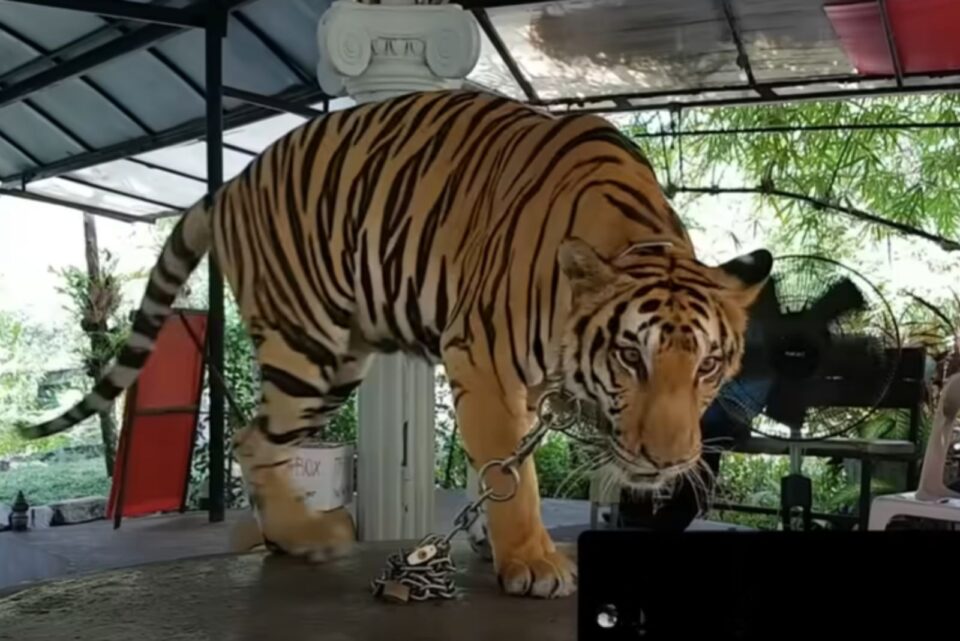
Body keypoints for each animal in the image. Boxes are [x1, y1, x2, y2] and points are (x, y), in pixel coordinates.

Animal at [18, 89, 772, 599]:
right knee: (252, 440)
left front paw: (489, 541)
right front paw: (532, 561)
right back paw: (309, 536)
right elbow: (513, 473)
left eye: (708, 364)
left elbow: (498, 467)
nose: (667, 460)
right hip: (312, 348)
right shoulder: (483, 360)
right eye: (629, 356)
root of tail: (229, 184)